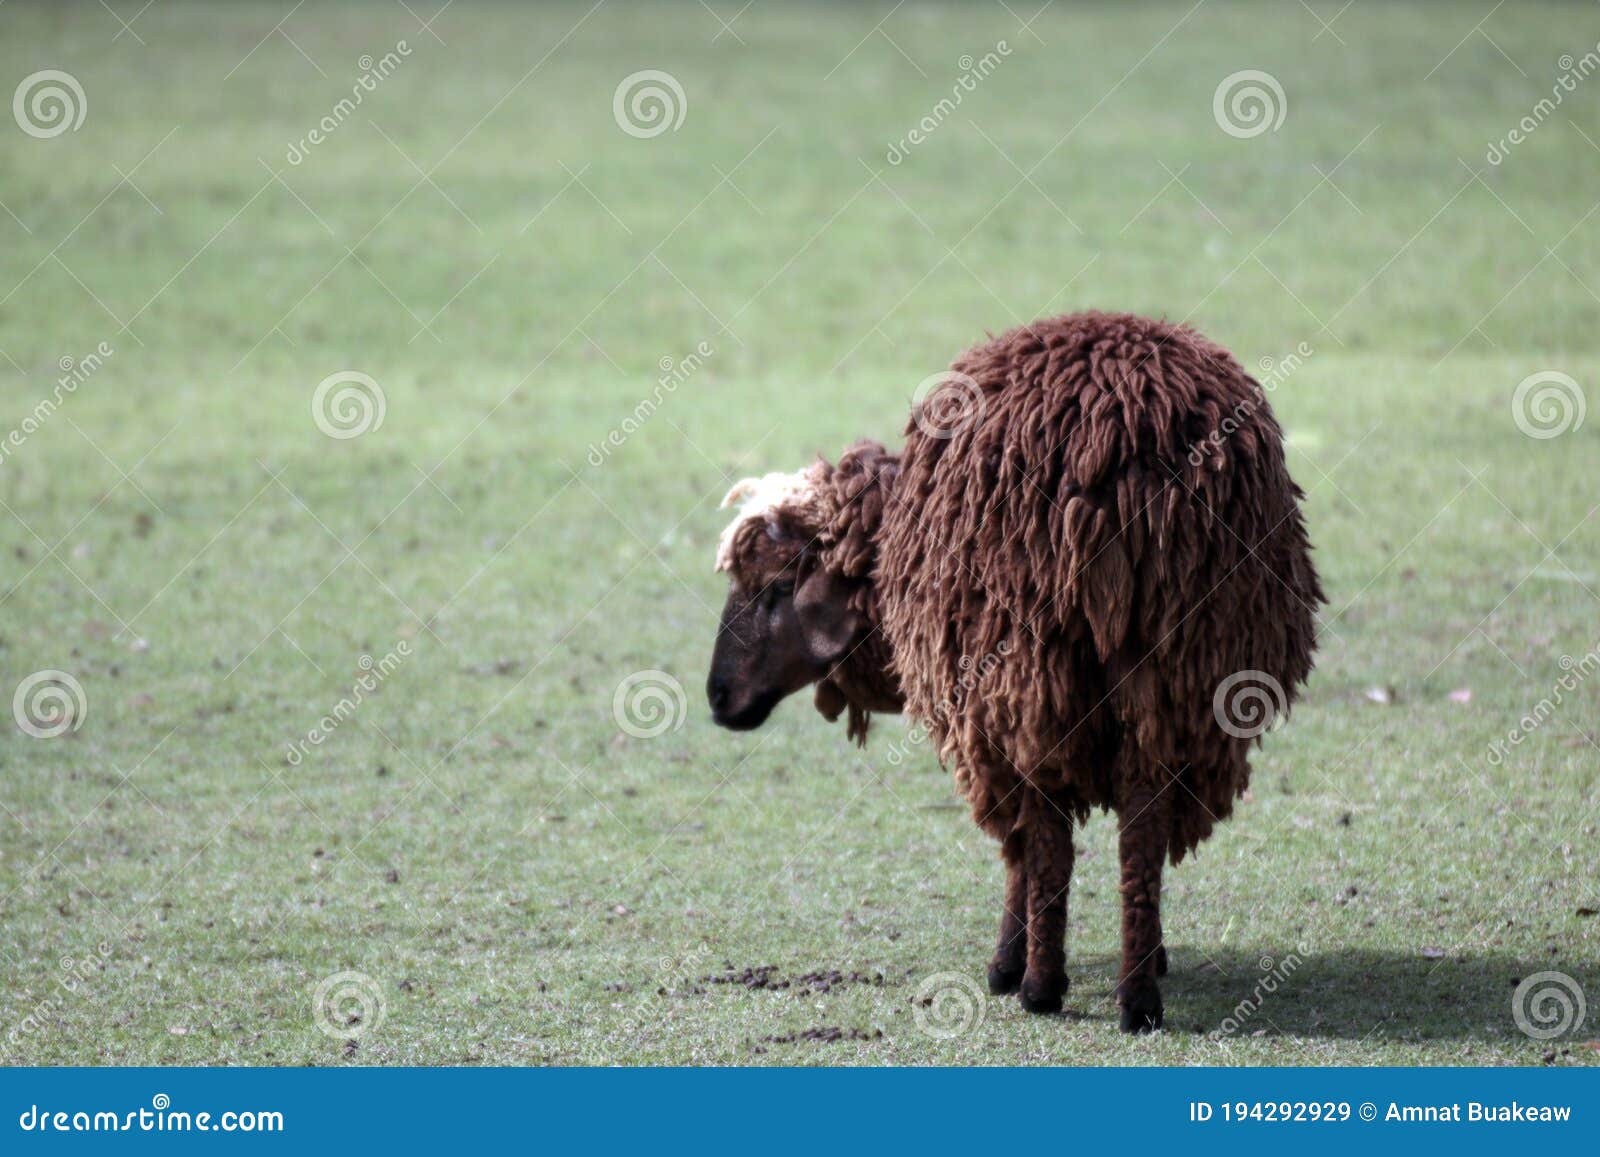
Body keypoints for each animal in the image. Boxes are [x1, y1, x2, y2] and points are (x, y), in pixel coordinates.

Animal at [706, 311, 1322, 1032]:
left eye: (776, 589)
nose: (718, 695)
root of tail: (1122, 439)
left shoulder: (978, 717)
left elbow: (1018, 846)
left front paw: (1006, 961)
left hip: (1030, 663)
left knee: (1050, 834)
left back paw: (1039, 985)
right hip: (1181, 667)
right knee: (1143, 828)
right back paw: (1140, 990)